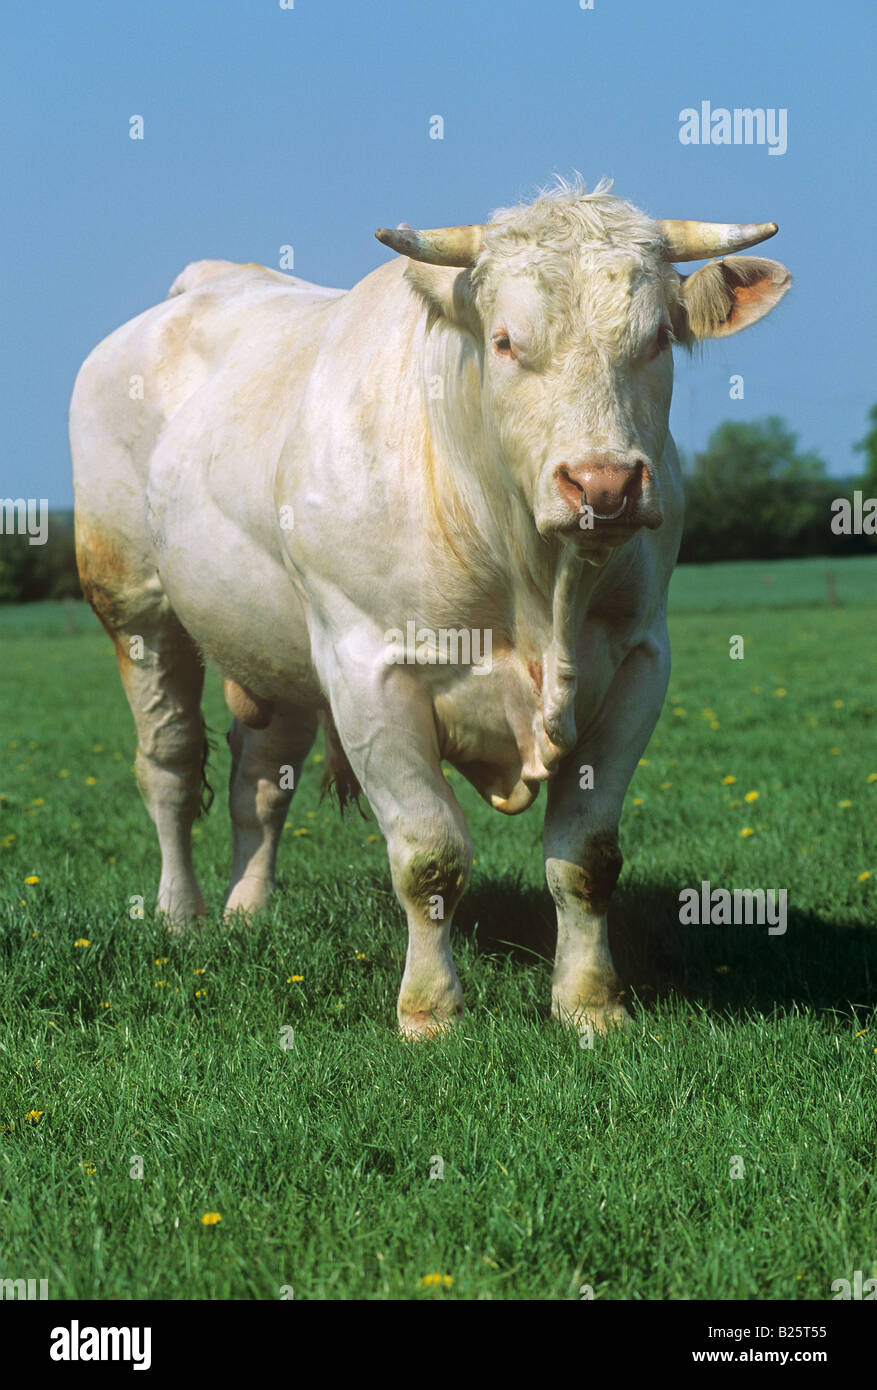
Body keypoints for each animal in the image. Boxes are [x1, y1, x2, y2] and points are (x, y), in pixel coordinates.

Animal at [70, 179, 790, 1037]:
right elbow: (428, 855)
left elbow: (587, 856)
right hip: (136, 606)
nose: (604, 484)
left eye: (655, 340)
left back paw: (249, 911)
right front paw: (430, 1011)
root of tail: (204, 285)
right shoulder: (367, 669)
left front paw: (590, 1005)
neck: (535, 587)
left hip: (275, 643)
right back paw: (182, 916)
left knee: (261, 778)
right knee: (171, 765)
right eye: (507, 342)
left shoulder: (638, 662)